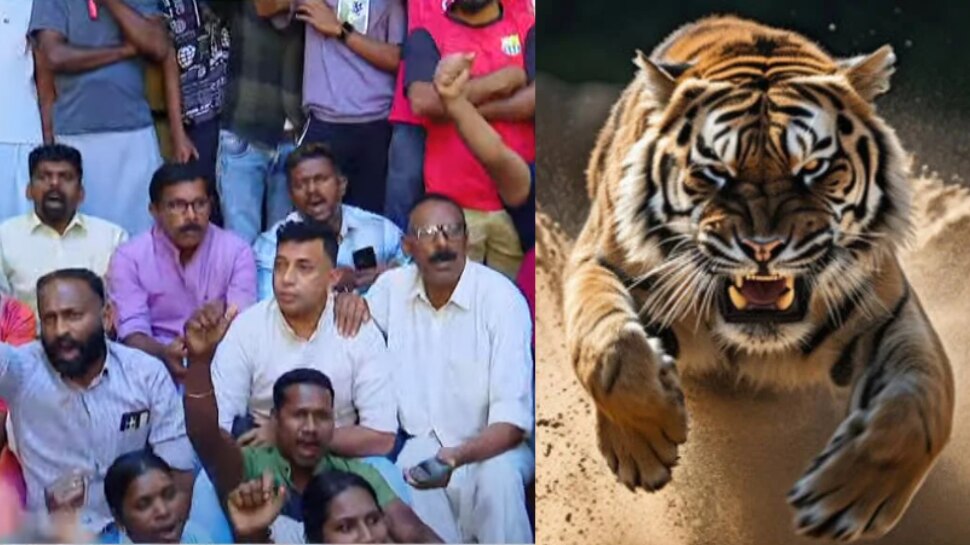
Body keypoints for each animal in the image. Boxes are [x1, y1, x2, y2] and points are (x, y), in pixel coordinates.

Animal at [563, 15, 954, 541]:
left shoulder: (887, 310)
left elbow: (921, 403)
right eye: (715, 171)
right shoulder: (599, 261)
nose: (763, 247)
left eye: (814, 168)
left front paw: (845, 500)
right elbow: (608, 346)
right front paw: (643, 445)